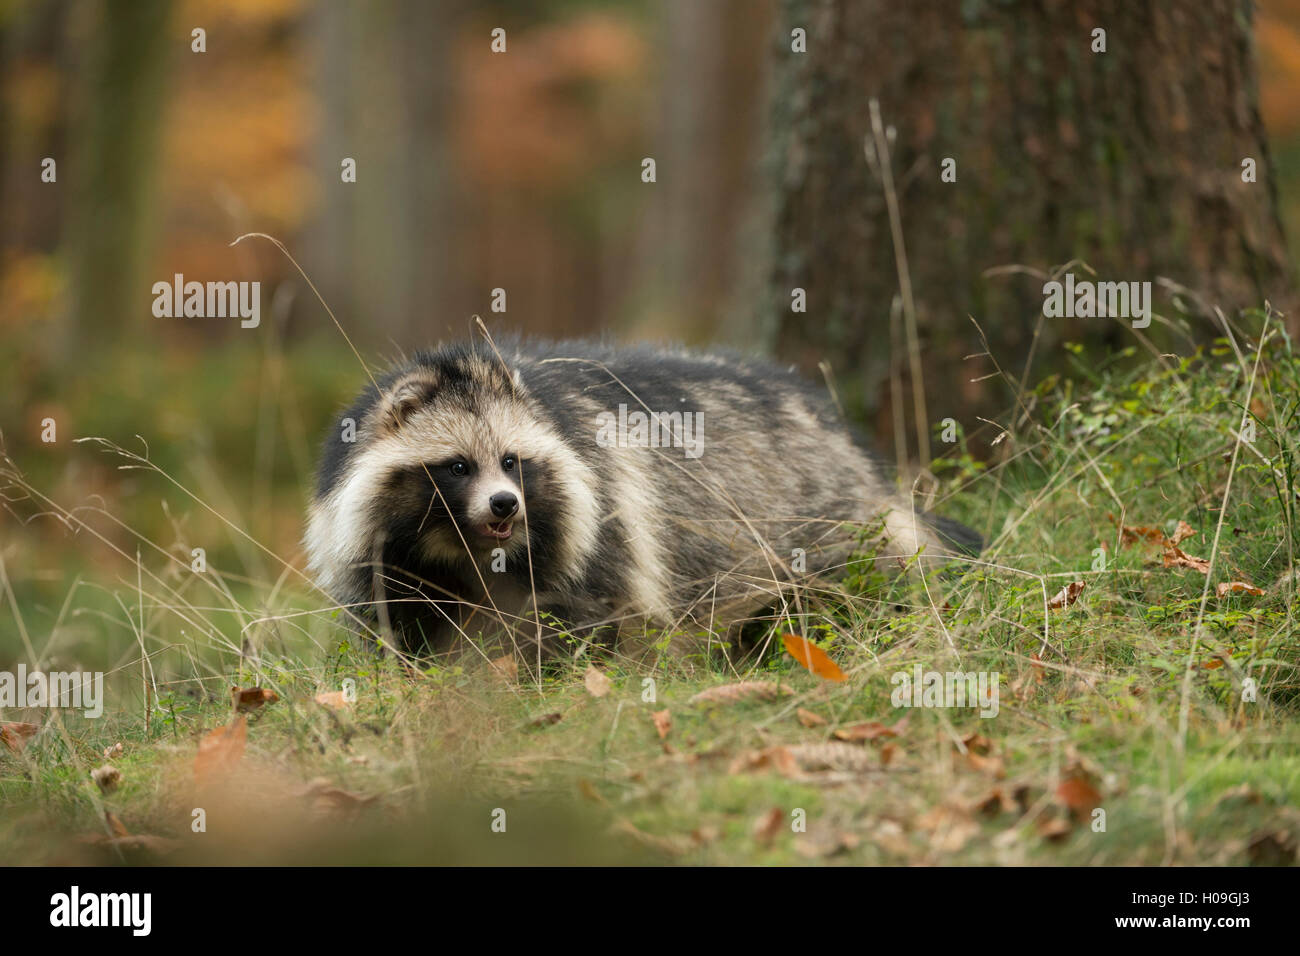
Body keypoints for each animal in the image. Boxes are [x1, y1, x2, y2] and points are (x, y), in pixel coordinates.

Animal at [305, 338, 980, 659]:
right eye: (458, 466)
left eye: (512, 462)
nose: (504, 506)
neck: (462, 548)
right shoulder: (394, 556)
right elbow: (406, 621)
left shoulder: (600, 515)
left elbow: (581, 615)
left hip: (823, 527)